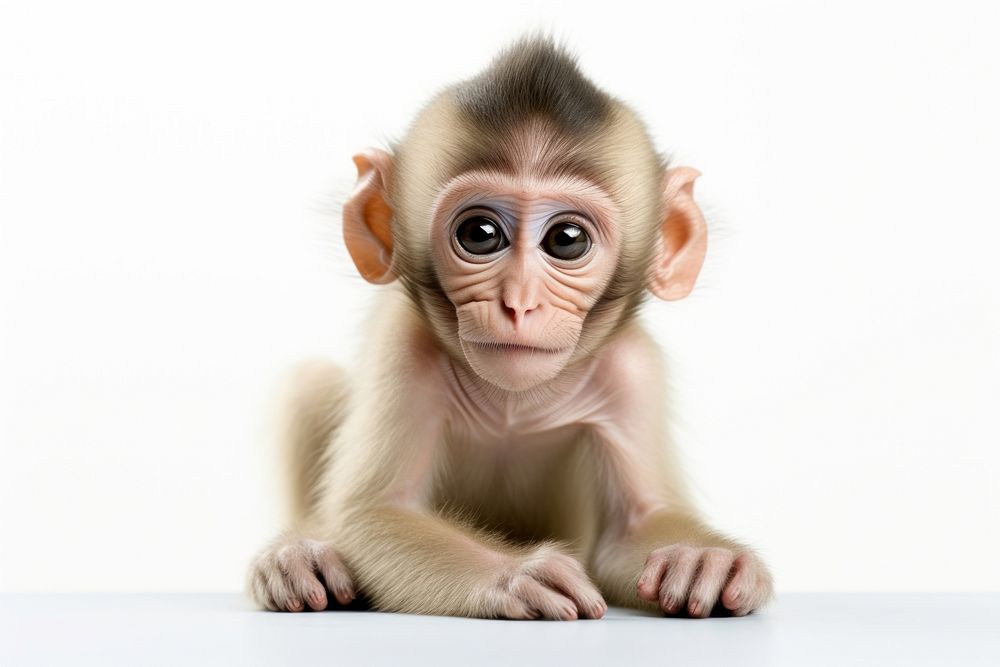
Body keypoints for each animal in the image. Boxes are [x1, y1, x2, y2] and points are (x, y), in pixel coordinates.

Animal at [247, 35, 773, 620]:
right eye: (480, 234)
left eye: (567, 239)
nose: (519, 303)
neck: (512, 405)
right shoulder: (401, 348)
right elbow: (374, 511)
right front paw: (515, 575)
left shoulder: (633, 371)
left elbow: (633, 529)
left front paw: (699, 559)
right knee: (309, 383)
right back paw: (297, 561)